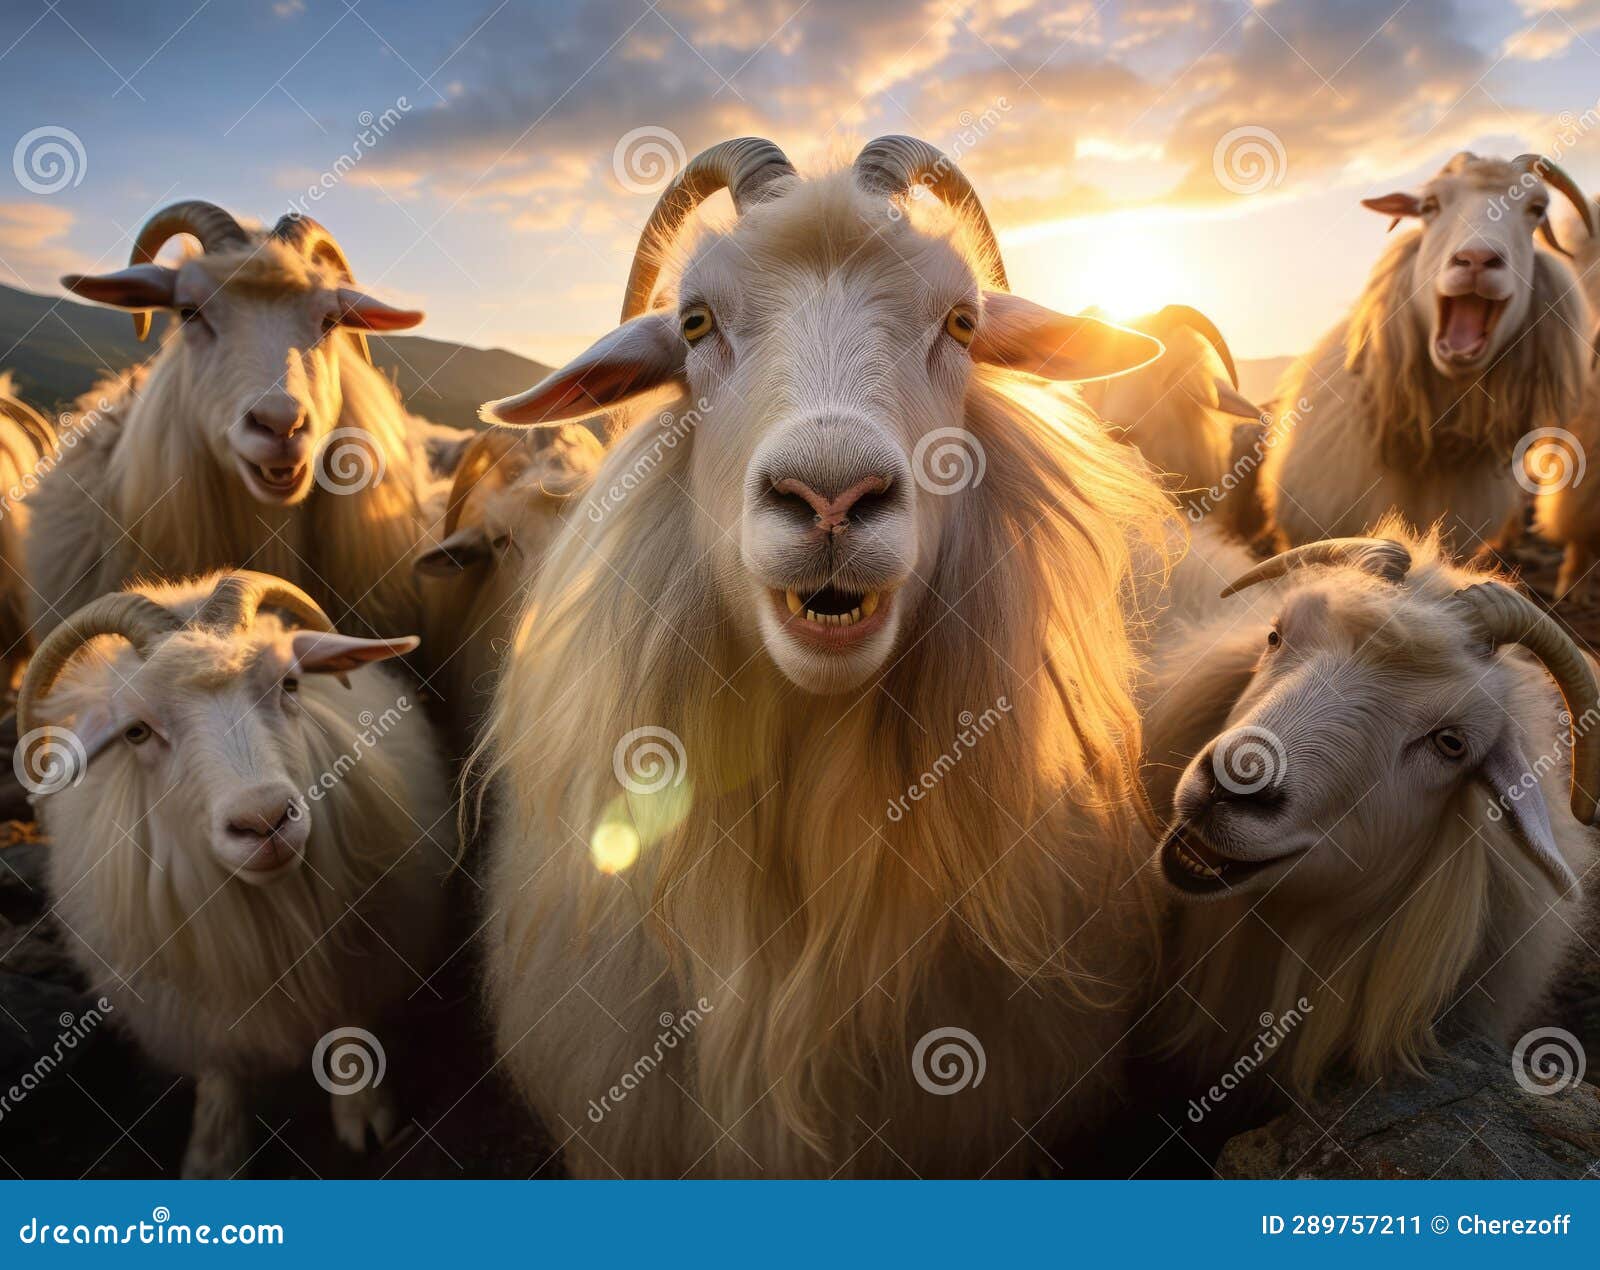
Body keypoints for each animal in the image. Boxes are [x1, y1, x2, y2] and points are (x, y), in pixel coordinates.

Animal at [18, 571, 452, 1177]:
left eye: (290, 684)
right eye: (136, 732)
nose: (264, 820)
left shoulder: (361, 946)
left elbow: (348, 1008)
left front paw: (363, 1107)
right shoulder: (197, 995)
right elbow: (220, 1063)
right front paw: (213, 1154)